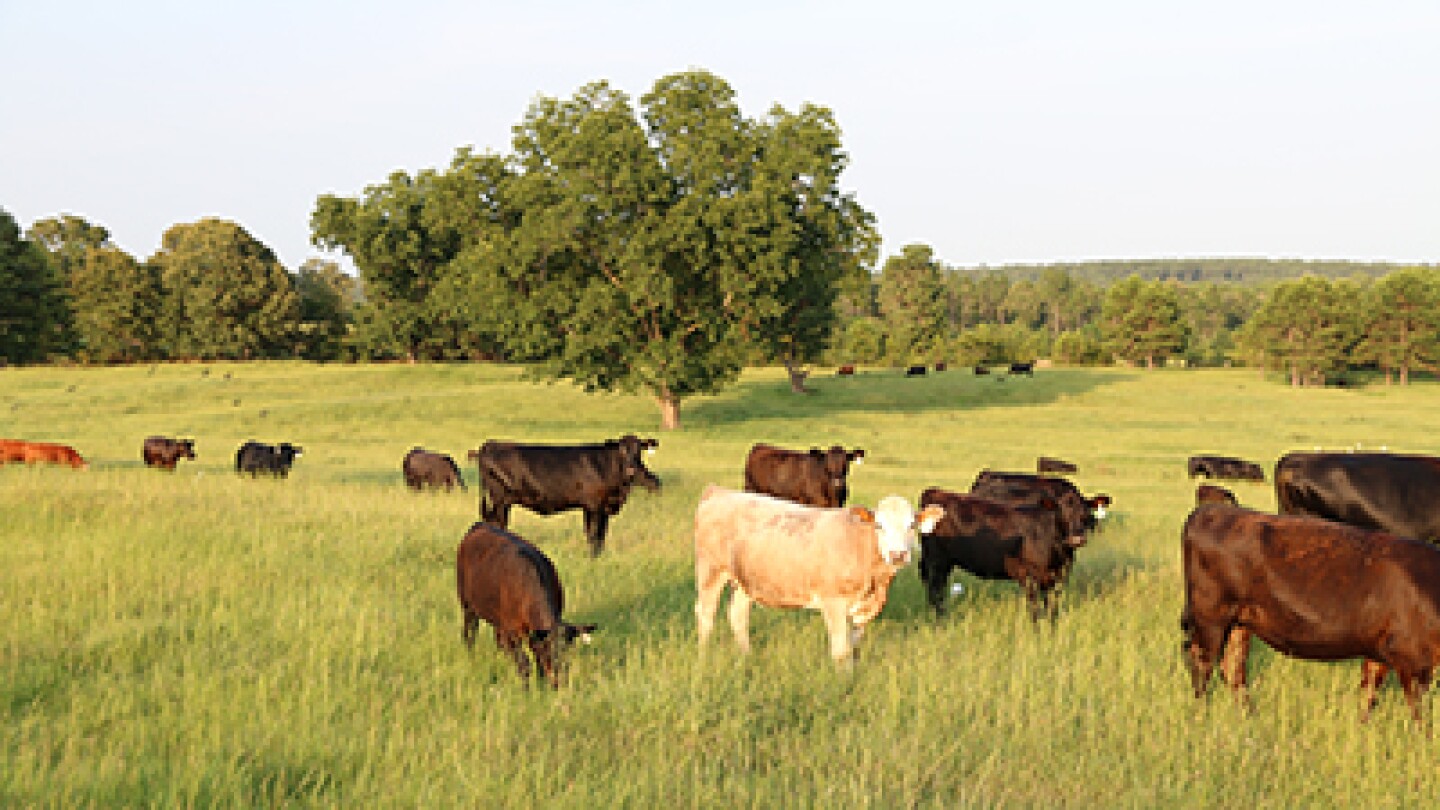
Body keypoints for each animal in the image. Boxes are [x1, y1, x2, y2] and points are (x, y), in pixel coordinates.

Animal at [456, 521, 596, 688]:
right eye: (548, 649)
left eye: (567, 649)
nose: (558, 682)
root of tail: (480, 525)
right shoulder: (512, 631)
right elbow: (524, 664)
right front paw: (526, 690)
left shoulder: (532, 634)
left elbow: (538, 663)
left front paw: (541, 687)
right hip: (468, 607)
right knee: (469, 634)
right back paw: (471, 658)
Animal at [472, 435, 660, 557]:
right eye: (621, 450)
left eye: (639, 450)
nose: (631, 469)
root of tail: (490, 444)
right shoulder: (593, 505)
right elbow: (593, 534)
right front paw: (592, 558)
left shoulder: (604, 508)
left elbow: (601, 535)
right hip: (499, 500)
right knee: (498, 523)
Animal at [693, 485, 944, 666]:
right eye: (879, 525)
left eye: (912, 525)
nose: (898, 555)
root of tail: (719, 492)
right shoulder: (833, 602)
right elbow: (841, 651)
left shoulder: (862, 609)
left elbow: (854, 649)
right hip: (710, 570)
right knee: (706, 614)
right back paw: (704, 658)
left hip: (746, 581)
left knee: (738, 616)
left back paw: (747, 657)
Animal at [917, 488, 1078, 621]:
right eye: (1061, 511)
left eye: (1083, 513)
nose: (1077, 538)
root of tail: (935, 491)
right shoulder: (1030, 576)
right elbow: (1035, 608)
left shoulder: (1057, 578)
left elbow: (1052, 608)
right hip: (936, 562)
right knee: (935, 591)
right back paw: (940, 619)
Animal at [1181, 503, 1440, 730]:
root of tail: (1208, 510)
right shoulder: (1414, 660)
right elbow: (1421, 716)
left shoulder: (1378, 652)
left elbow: (1368, 696)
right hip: (1211, 616)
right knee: (1202, 662)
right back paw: (1201, 718)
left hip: (1240, 621)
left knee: (1233, 666)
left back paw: (1250, 719)